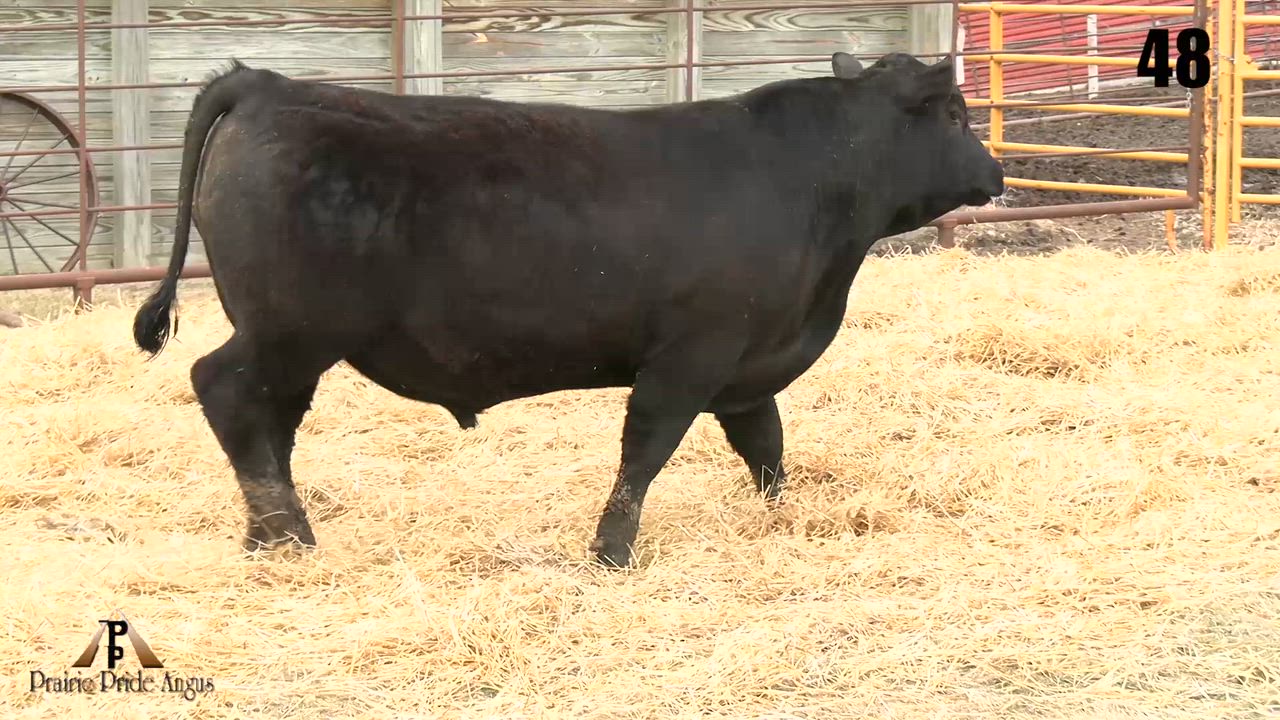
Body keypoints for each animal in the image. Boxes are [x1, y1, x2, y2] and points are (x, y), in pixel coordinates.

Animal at [132, 51, 1003, 569]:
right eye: (957, 115)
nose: (996, 172)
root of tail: (267, 84)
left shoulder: (749, 363)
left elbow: (766, 447)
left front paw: (781, 519)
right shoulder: (691, 354)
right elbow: (644, 451)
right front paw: (612, 550)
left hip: (292, 343)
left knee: (269, 423)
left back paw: (268, 534)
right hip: (287, 331)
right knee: (226, 391)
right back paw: (290, 536)